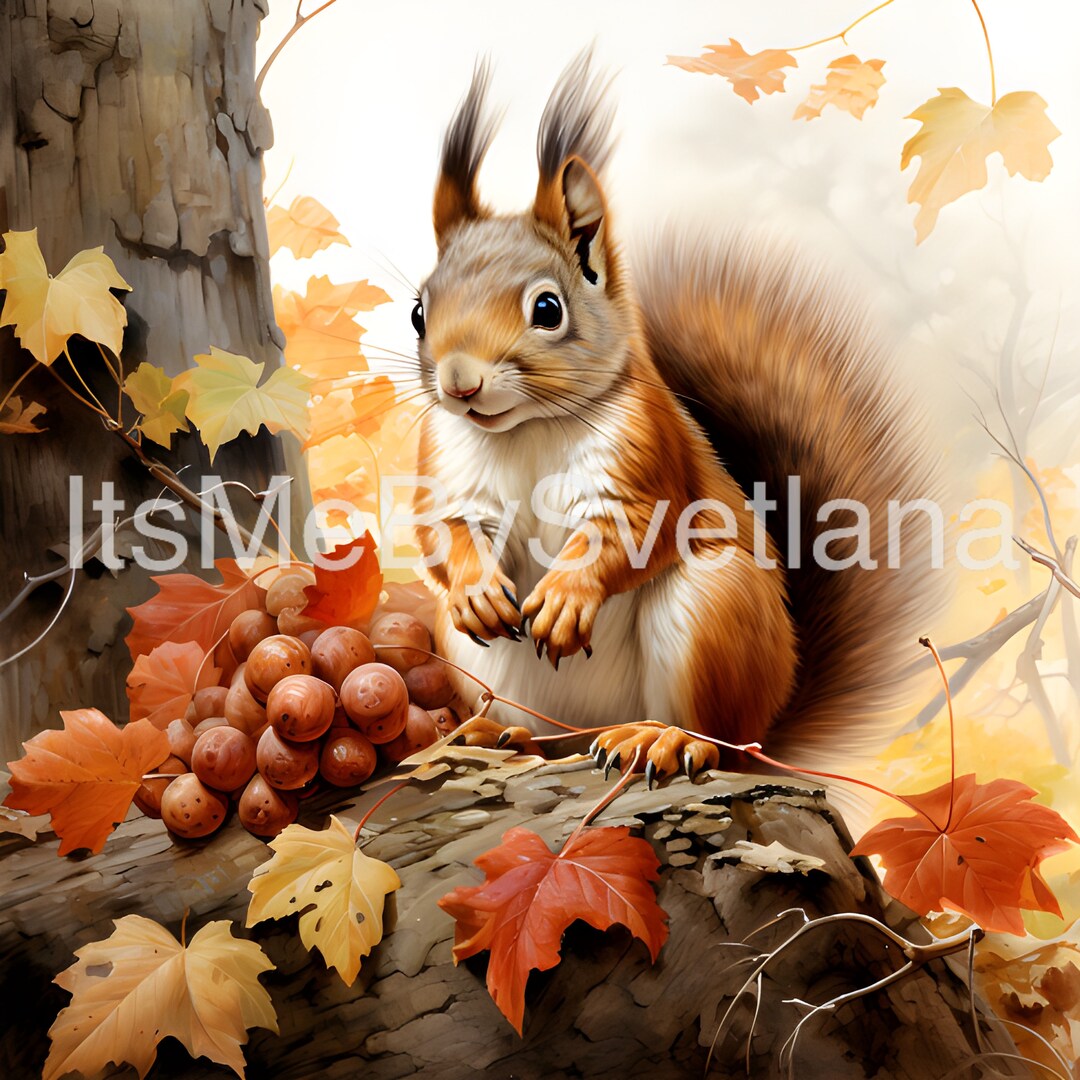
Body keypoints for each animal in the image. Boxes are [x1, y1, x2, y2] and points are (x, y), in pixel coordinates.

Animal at [408, 53, 940, 777]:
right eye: (418, 312)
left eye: (547, 308)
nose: (460, 383)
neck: (527, 429)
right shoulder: (447, 468)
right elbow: (443, 529)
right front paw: (474, 589)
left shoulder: (647, 452)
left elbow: (632, 530)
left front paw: (565, 598)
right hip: (469, 655)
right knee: (543, 737)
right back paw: (498, 736)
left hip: (712, 608)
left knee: (715, 736)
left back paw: (660, 740)